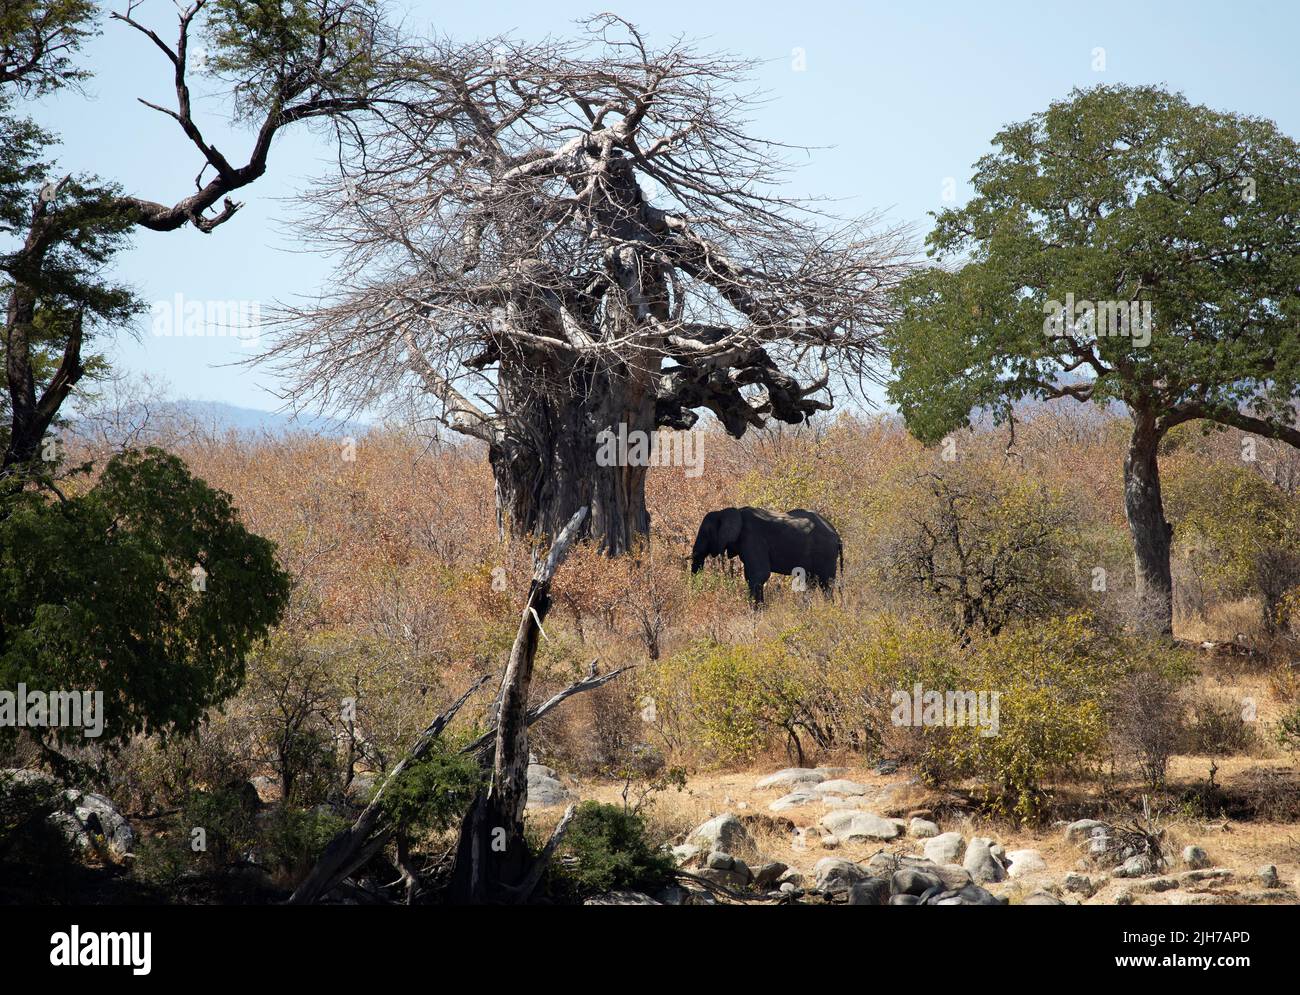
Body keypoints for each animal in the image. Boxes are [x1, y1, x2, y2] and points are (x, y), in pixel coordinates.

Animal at [690, 507, 842, 604]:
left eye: (705, 533)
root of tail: (837, 534)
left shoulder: (752, 538)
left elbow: (759, 575)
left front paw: (756, 612)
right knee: (811, 581)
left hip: (826, 553)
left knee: (826, 583)